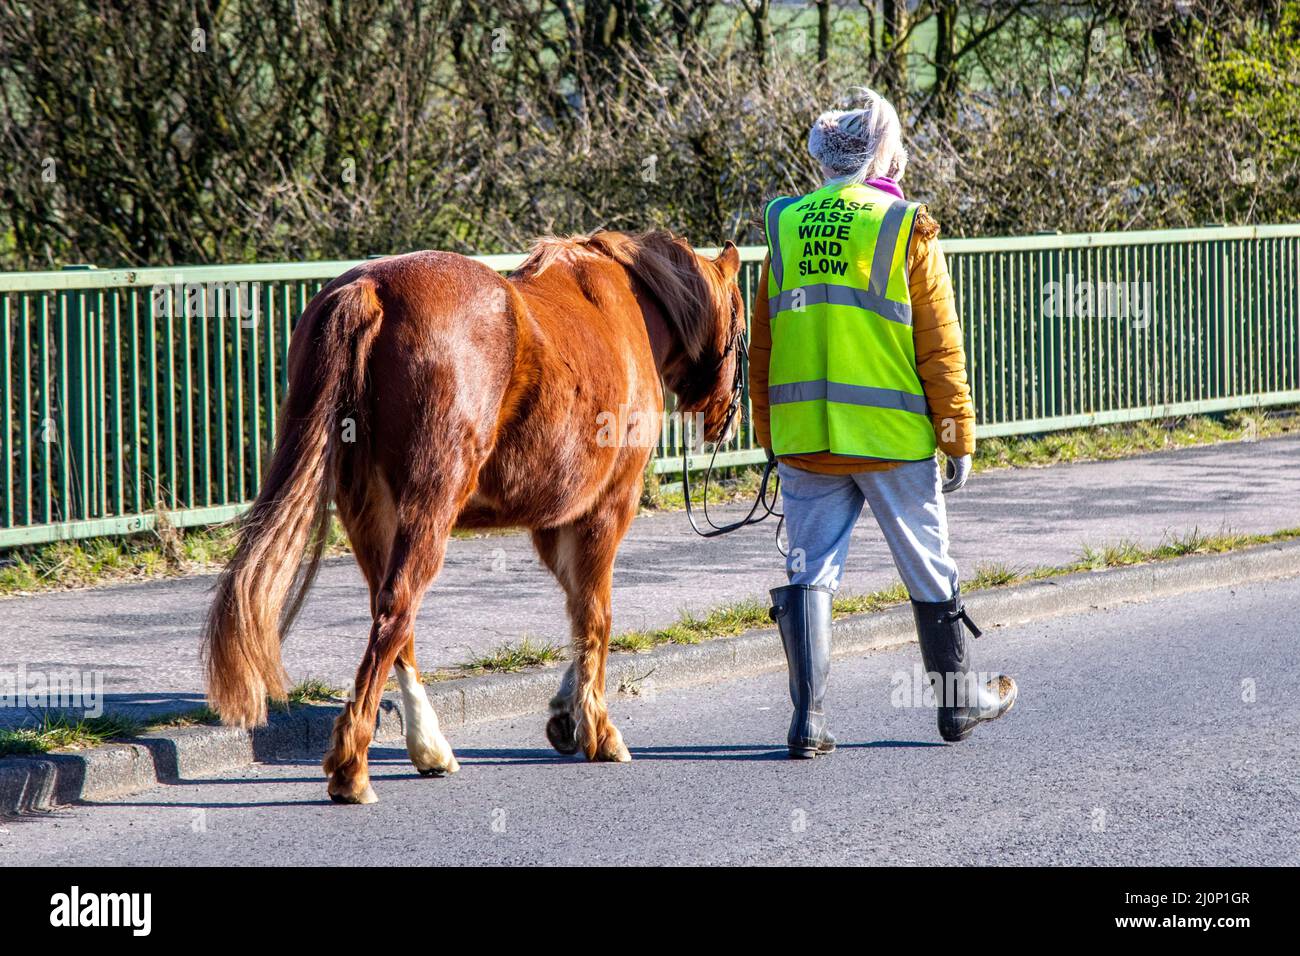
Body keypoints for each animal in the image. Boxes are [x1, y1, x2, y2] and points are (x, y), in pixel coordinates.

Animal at [201, 231, 744, 804]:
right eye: (740, 325)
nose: (727, 420)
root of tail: (372, 289)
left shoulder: (554, 525)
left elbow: (577, 610)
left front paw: (566, 713)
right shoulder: (606, 508)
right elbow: (596, 616)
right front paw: (598, 731)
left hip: (369, 512)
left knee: (392, 619)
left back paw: (428, 747)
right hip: (431, 506)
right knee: (397, 611)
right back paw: (352, 769)